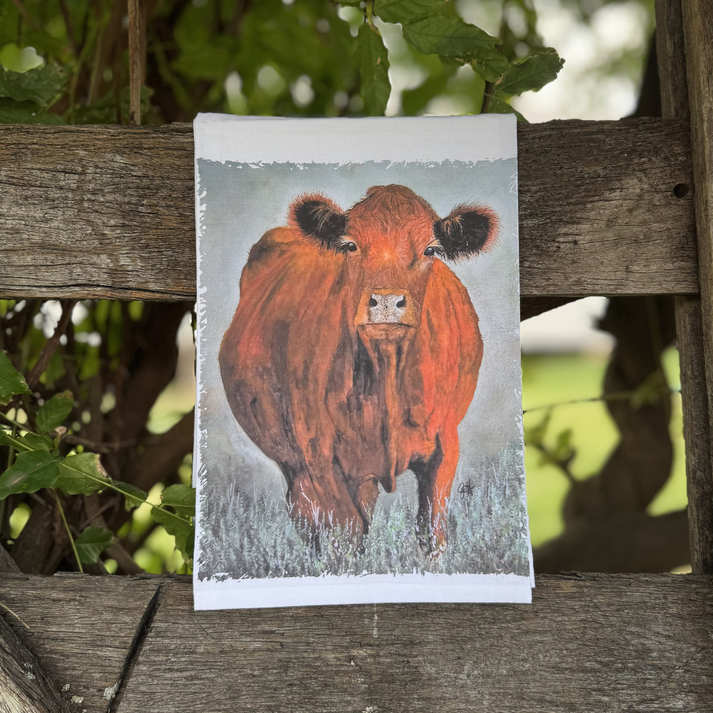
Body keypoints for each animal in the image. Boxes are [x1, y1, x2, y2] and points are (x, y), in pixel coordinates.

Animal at [219, 184, 498, 552]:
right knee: (307, 515)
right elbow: (346, 531)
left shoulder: (445, 445)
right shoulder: (317, 455)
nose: (386, 302)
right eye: (351, 245)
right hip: (297, 465)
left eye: (430, 249)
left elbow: (431, 532)